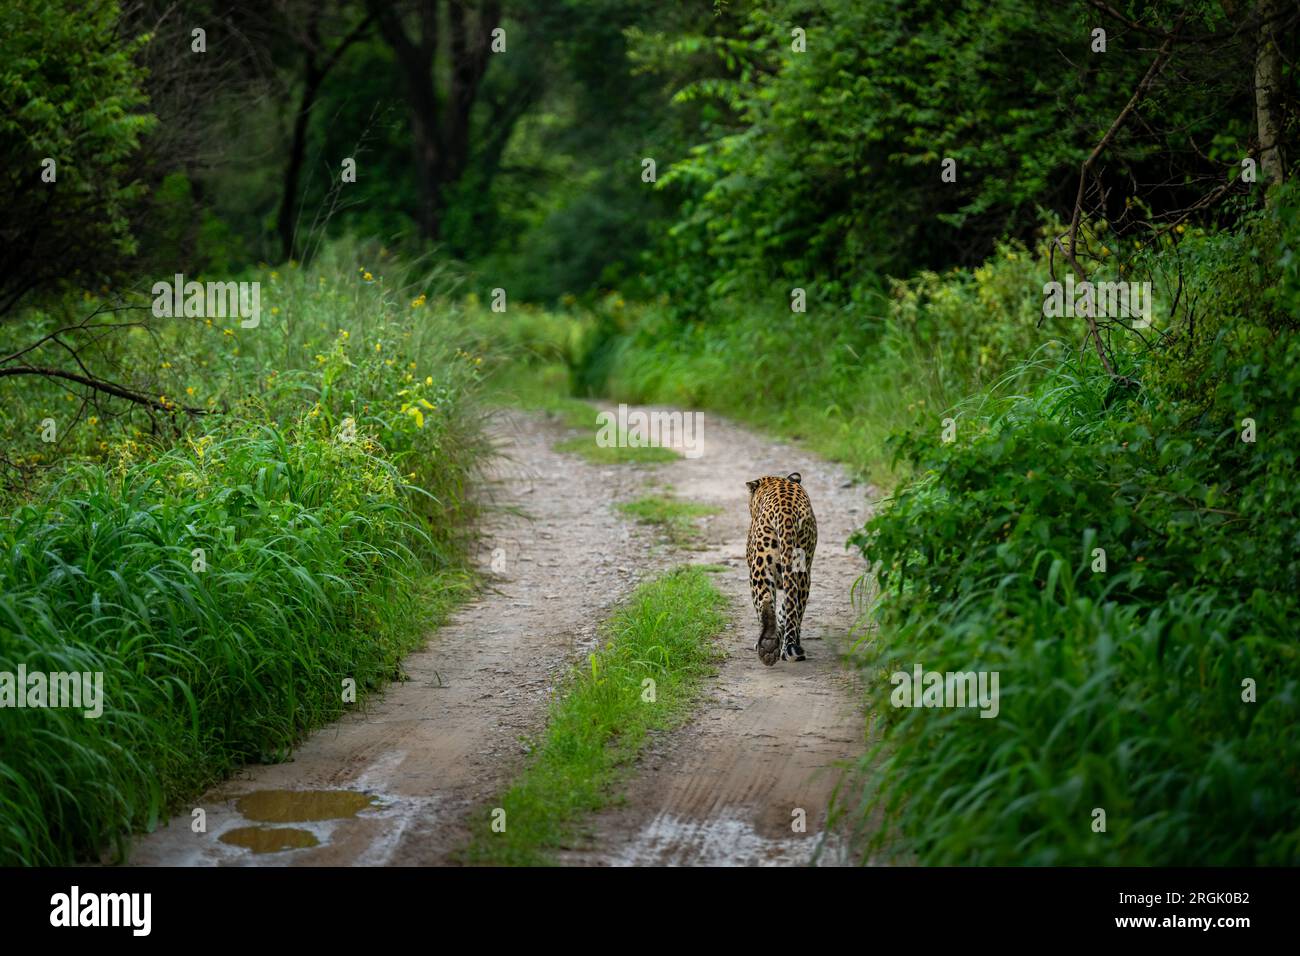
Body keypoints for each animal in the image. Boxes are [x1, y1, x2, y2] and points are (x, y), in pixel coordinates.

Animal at [745, 472, 817, 666]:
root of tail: (785, 511)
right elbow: (787, 609)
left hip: (759, 568)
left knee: (765, 602)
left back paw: (768, 644)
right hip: (802, 571)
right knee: (794, 607)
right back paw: (785, 646)